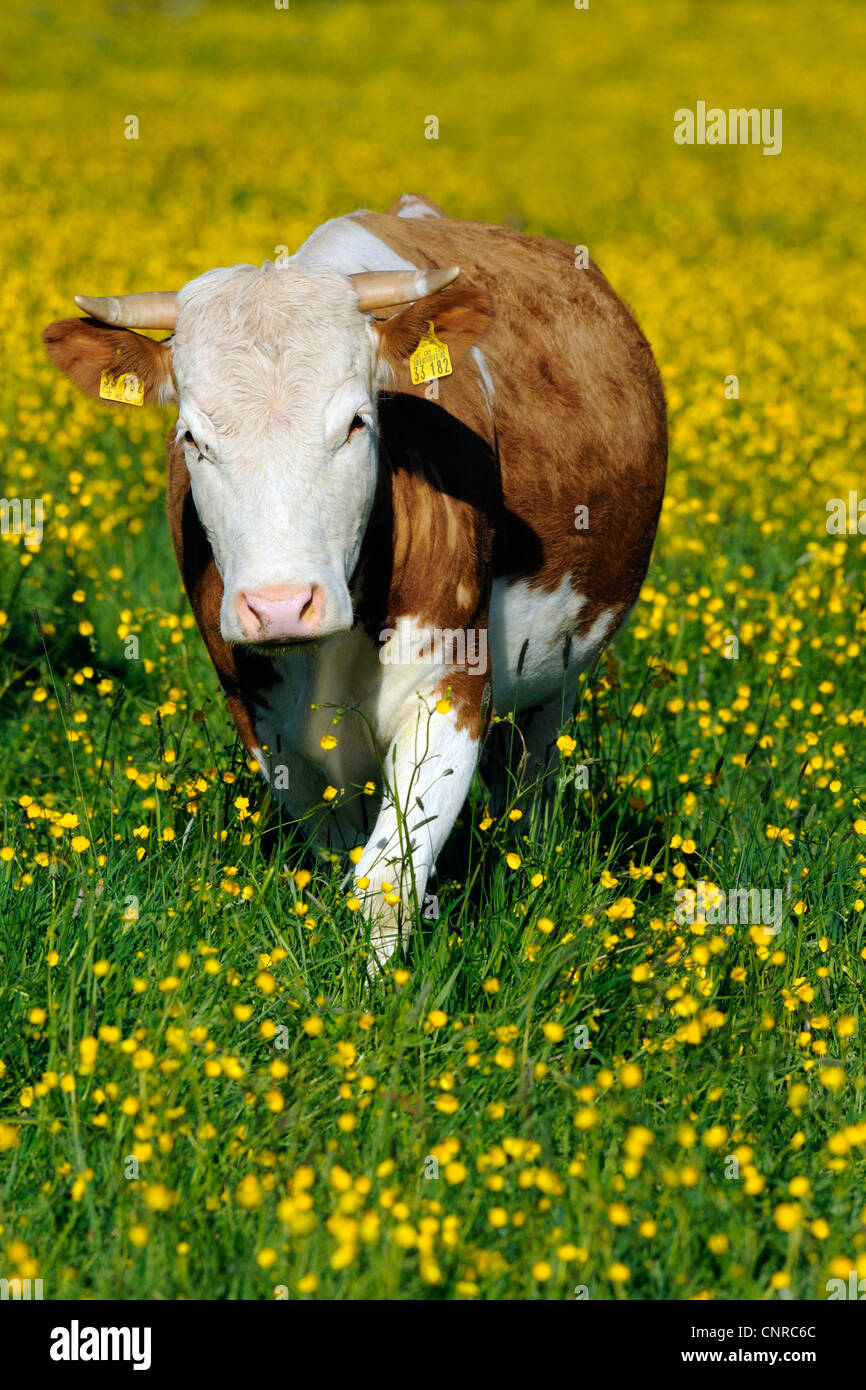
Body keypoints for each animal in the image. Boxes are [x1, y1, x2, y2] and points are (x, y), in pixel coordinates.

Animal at [43, 193, 667, 966]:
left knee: (532, 776)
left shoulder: (452, 690)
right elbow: (344, 859)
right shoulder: (265, 723)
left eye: (356, 422)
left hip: (564, 674)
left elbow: (385, 882)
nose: (281, 607)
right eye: (192, 437)